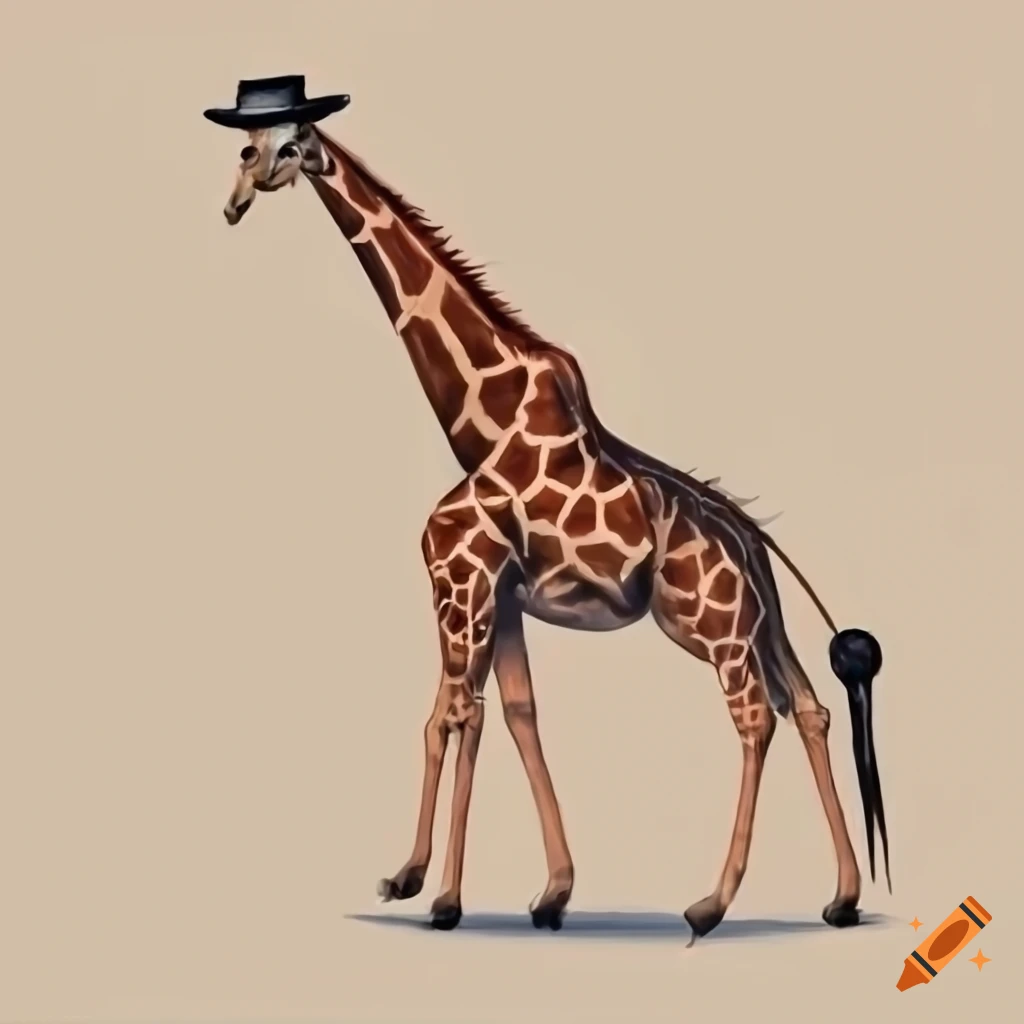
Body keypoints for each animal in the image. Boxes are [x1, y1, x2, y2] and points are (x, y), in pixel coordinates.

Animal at [205, 82, 891, 940]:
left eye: (293, 144)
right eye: (247, 145)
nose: (236, 200)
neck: (481, 419)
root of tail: (751, 539)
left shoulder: (460, 578)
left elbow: (457, 714)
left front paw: (440, 895)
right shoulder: (499, 594)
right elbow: (508, 713)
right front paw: (534, 890)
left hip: (708, 623)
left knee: (753, 718)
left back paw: (710, 903)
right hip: (756, 621)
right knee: (808, 706)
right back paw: (842, 897)